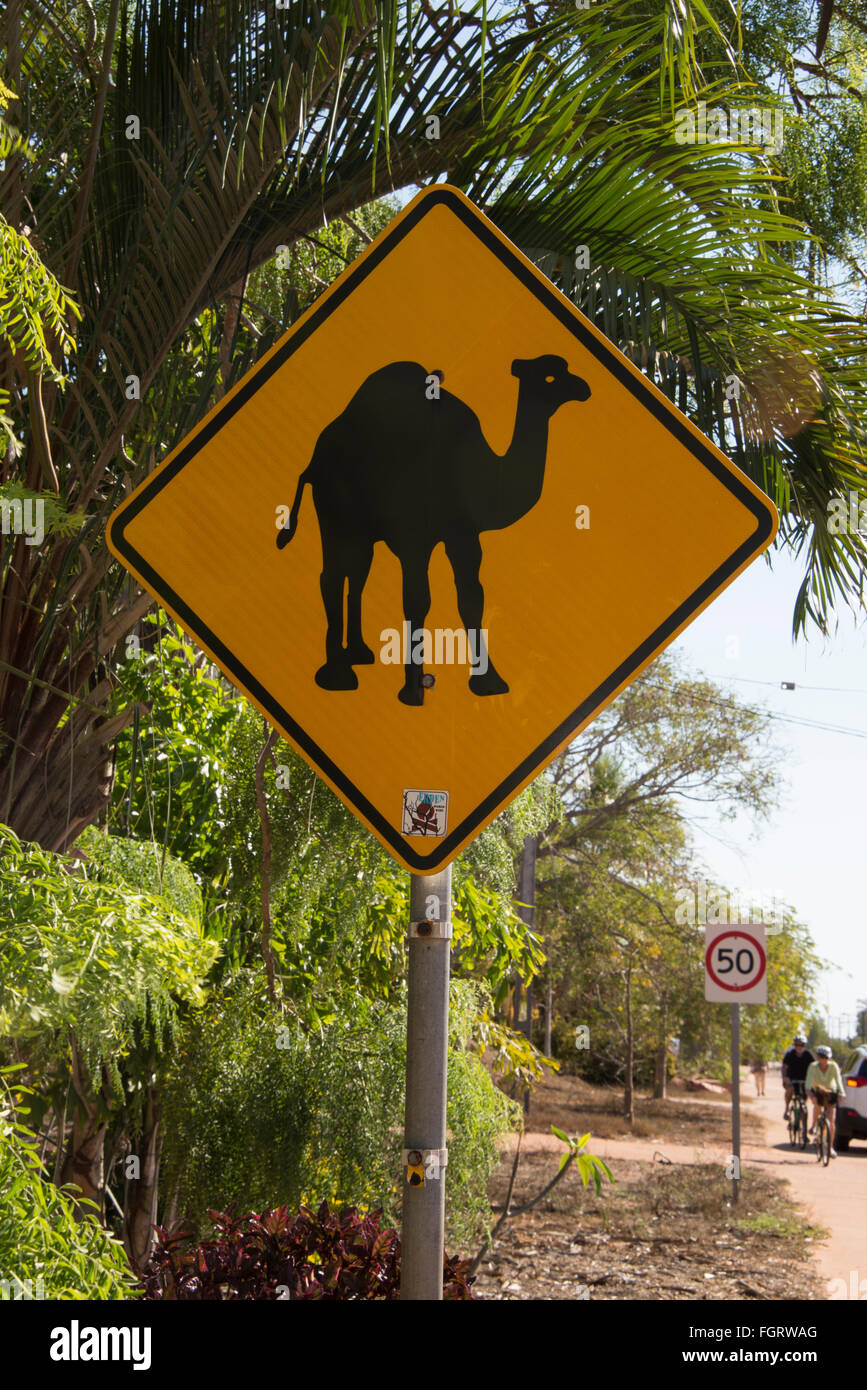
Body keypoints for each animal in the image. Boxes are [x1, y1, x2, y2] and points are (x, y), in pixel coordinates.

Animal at [276, 355, 592, 704]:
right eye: (550, 376)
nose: (584, 388)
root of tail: (314, 459)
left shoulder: (463, 535)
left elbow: (471, 598)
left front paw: (489, 683)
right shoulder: (414, 537)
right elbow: (417, 600)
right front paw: (412, 691)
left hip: (361, 532)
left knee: (355, 577)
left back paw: (358, 654)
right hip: (335, 514)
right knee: (331, 576)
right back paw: (337, 676)